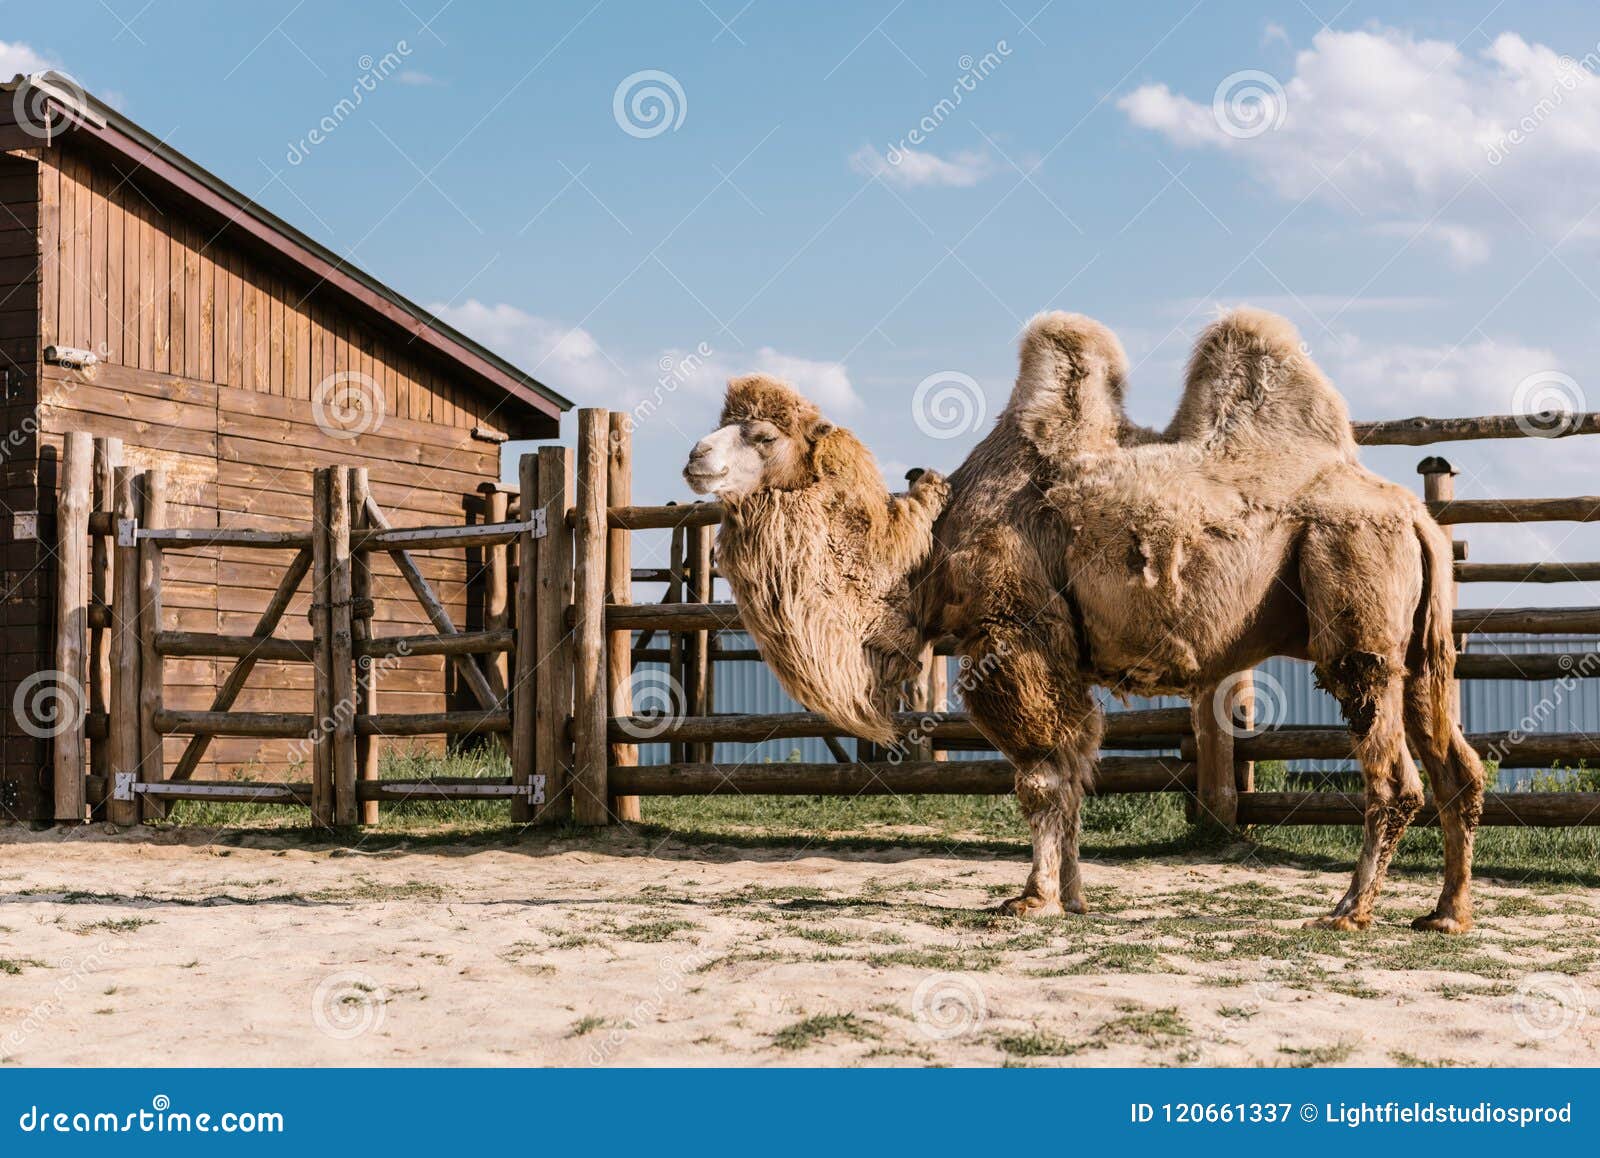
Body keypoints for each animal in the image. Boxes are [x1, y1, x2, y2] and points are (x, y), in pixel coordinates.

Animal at [683, 310, 1486, 933]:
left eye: (761, 435)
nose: (694, 457)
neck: (927, 556)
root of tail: (1414, 513)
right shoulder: (1057, 656)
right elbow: (1071, 770)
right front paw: (1069, 896)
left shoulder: (1011, 637)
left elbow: (1041, 775)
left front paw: (1030, 900)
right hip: (1422, 645)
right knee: (1456, 764)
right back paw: (1445, 913)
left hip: (1355, 596)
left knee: (1393, 771)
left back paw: (1349, 910)